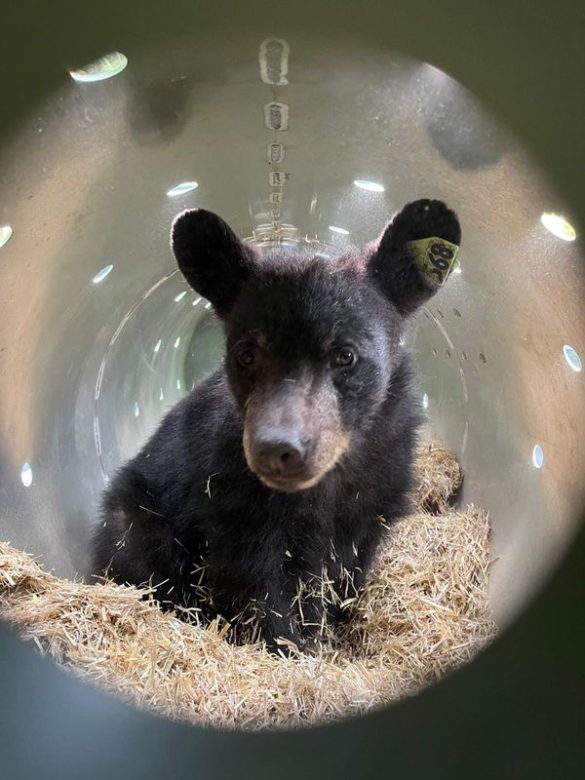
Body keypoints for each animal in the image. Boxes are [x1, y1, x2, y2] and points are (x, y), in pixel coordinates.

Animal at [92, 199, 461, 653]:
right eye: (246, 354)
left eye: (345, 355)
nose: (278, 448)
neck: (330, 482)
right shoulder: (231, 494)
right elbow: (259, 583)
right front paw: (286, 646)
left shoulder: (380, 487)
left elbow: (350, 566)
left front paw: (335, 627)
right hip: (137, 516)